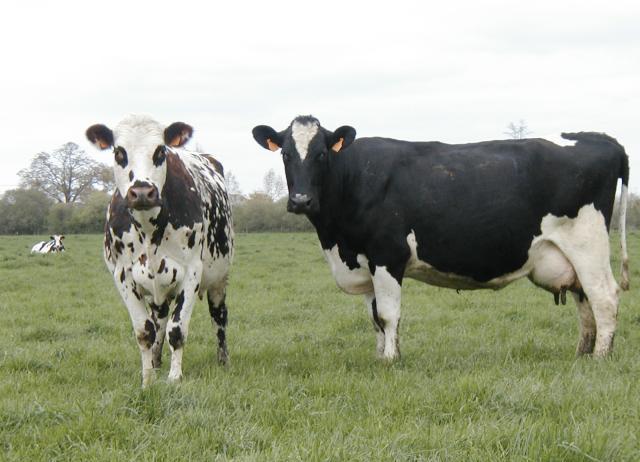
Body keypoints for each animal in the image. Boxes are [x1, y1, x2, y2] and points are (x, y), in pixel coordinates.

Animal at [86, 114, 234, 387]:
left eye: (160, 151)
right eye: (119, 152)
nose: (143, 192)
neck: (148, 228)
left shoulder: (191, 272)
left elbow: (177, 330)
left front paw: (174, 378)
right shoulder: (123, 275)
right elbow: (145, 330)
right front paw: (148, 379)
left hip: (219, 278)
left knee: (218, 317)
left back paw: (223, 360)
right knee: (159, 322)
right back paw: (155, 361)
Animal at [252, 116, 629, 360]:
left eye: (321, 154)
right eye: (285, 154)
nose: (301, 200)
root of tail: (602, 138)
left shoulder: (387, 254)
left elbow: (387, 314)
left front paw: (391, 361)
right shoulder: (364, 260)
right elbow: (374, 318)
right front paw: (381, 355)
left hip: (588, 243)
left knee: (604, 296)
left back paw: (600, 357)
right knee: (585, 301)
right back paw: (582, 353)